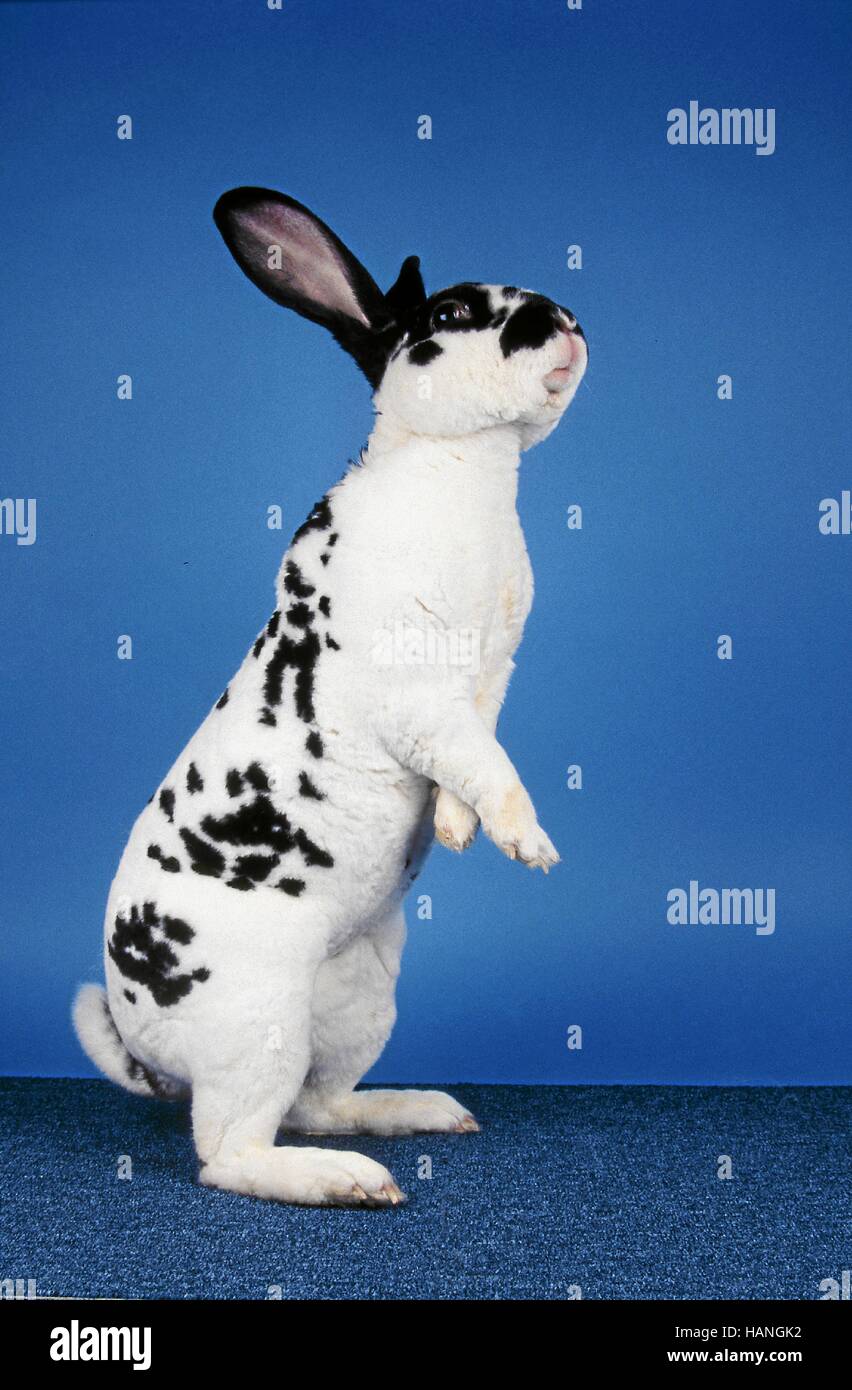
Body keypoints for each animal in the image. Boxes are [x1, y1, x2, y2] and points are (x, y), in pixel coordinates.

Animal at [73, 187, 588, 1206]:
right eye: (451, 315)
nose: (568, 322)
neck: (465, 466)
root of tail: (145, 1038)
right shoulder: (422, 694)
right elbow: (486, 761)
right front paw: (527, 842)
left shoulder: (491, 680)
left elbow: (476, 756)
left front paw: (460, 831)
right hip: (258, 1024)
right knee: (230, 1154)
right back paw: (349, 1182)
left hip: (357, 999)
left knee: (320, 1100)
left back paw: (419, 1112)